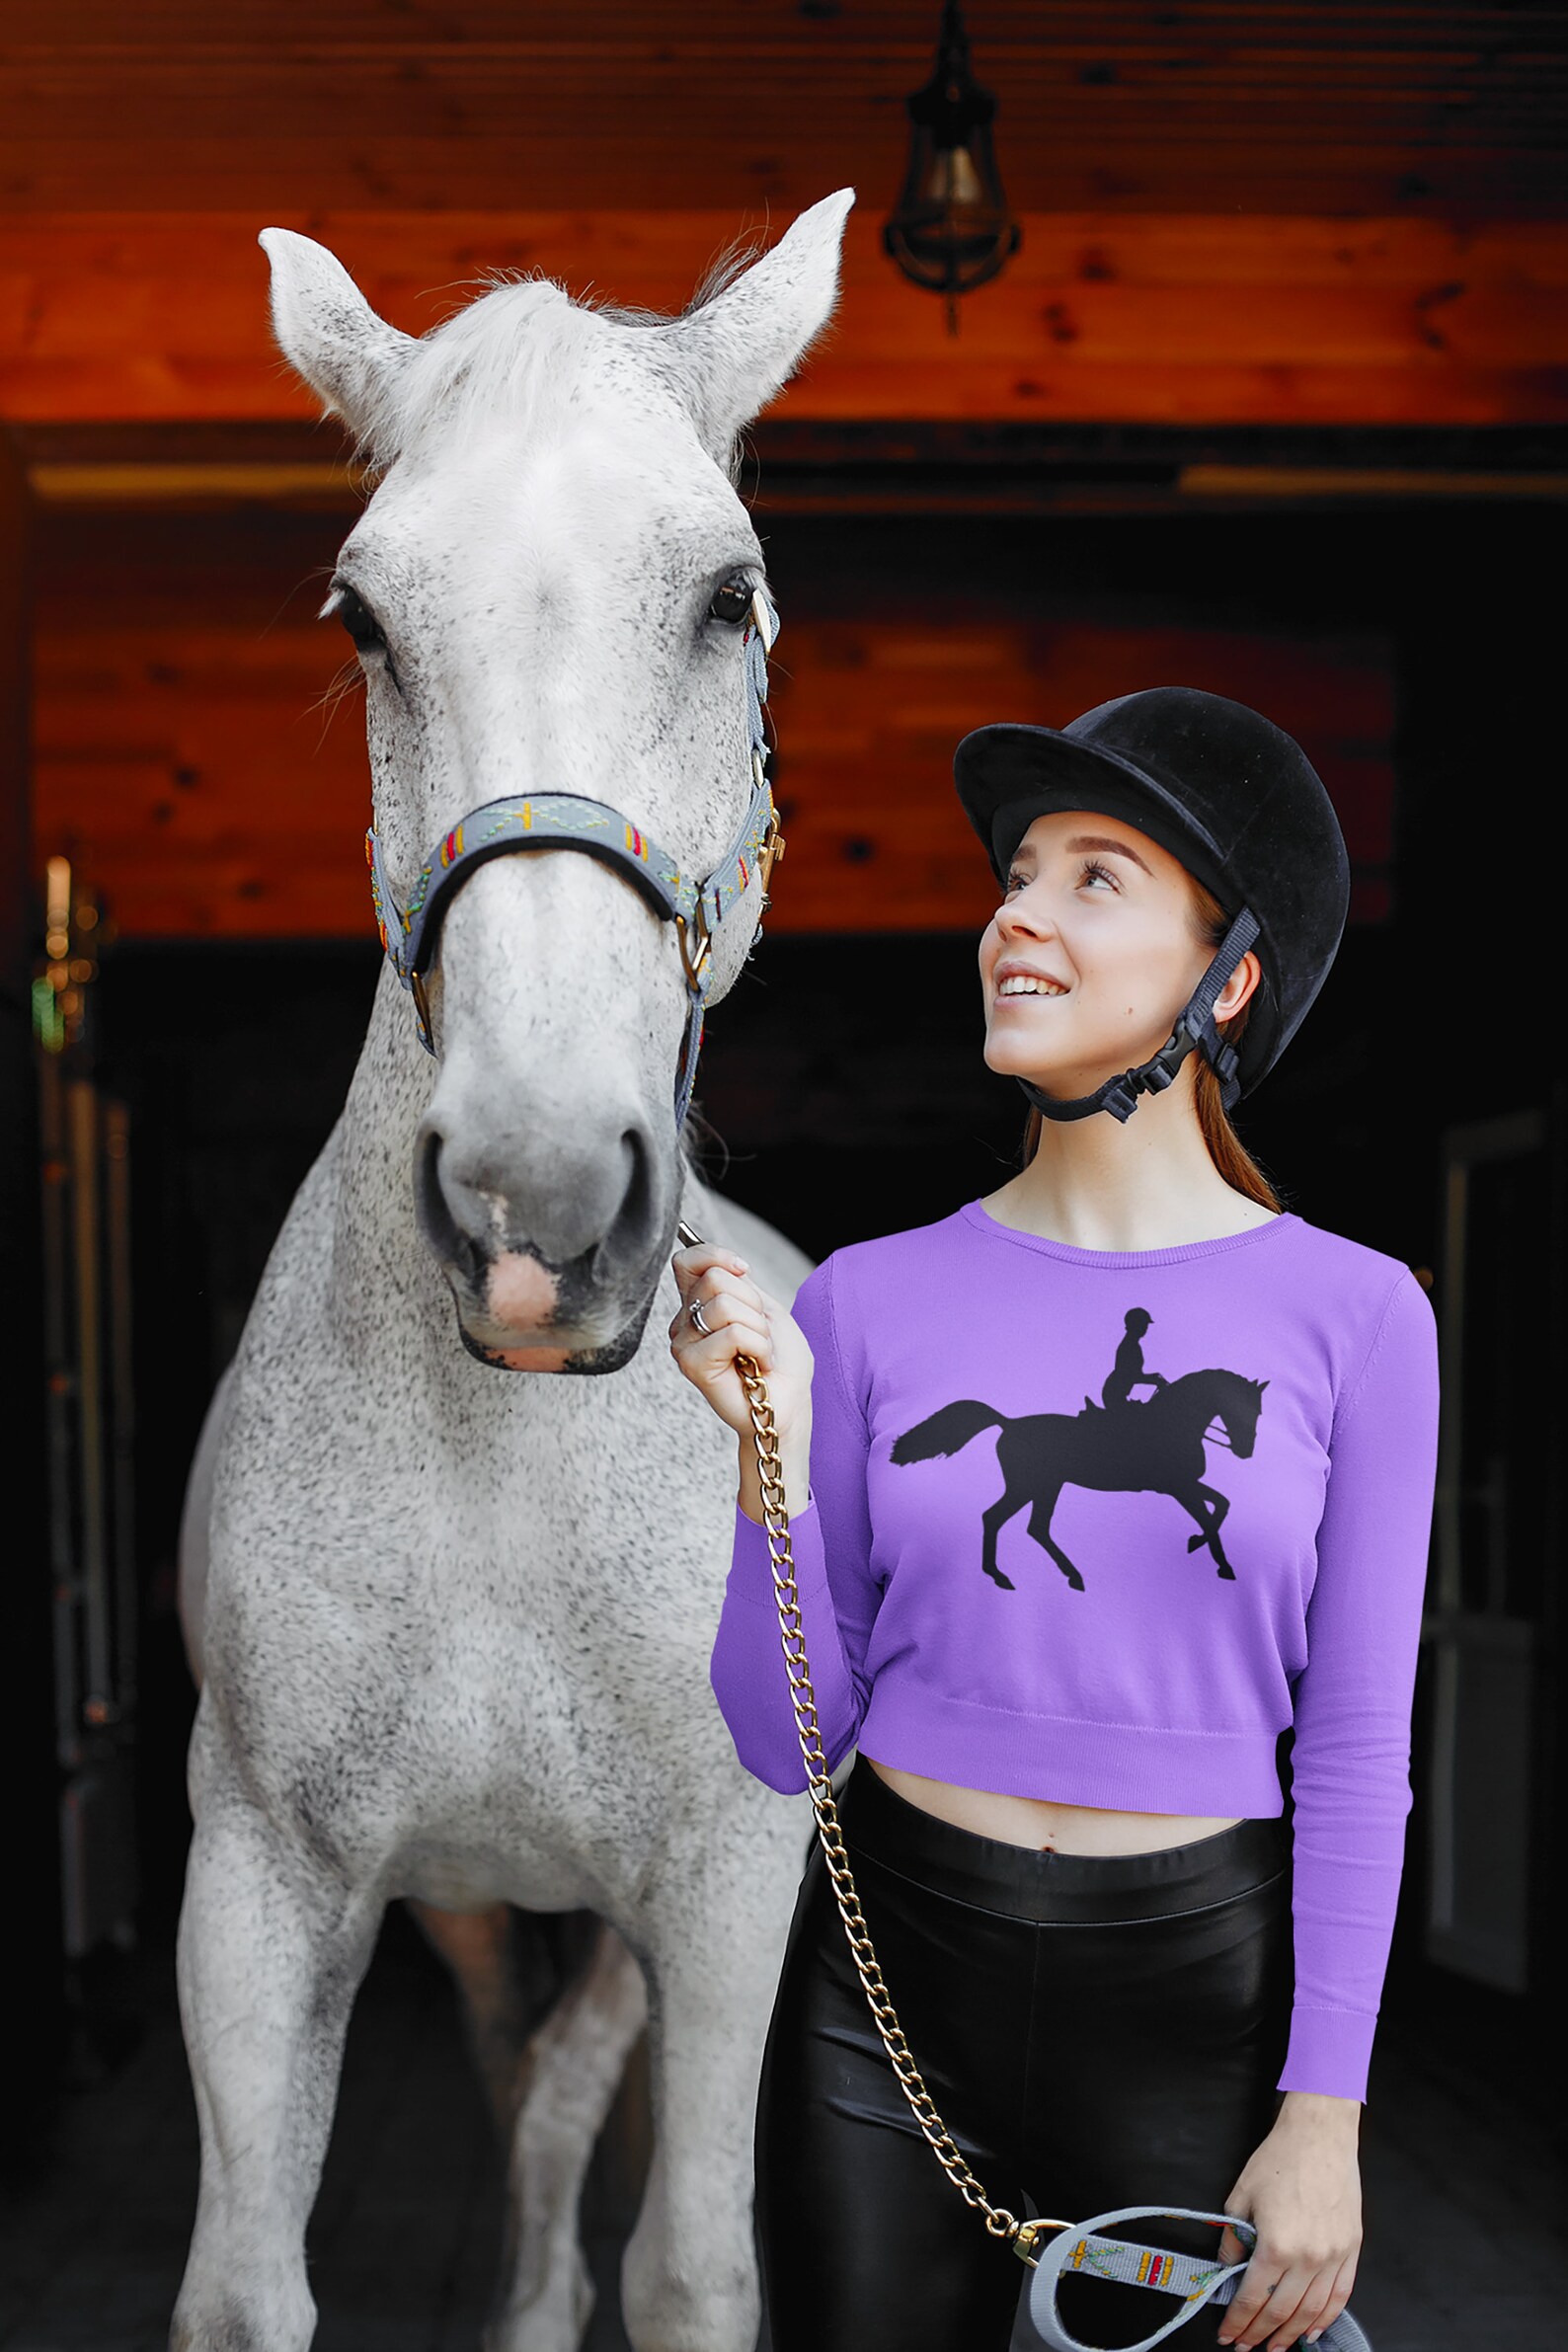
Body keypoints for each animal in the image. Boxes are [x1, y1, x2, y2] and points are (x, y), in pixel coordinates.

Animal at [172, 189, 854, 2352]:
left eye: (727, 597)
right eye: (363, 620)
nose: (536, 1208)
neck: (508, 1473)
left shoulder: (721, 1888)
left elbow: (691, 2259)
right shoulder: (267, 1887)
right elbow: (249, 2285)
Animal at [890, 1370, 1268, 1591]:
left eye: (1258, 1411)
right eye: (1237, 1409)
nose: (1245, 1451)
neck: (1175, 1422)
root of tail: (1008, 1423)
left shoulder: (1184, 1485)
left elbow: (1221, 1506)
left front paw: (1196, 1543)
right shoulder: (1179, 1487)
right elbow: (1212, 1516)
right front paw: (1221, 1563)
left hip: (1045, 1486)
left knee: (1030, 1526)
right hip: (1030, 1486)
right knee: (1000, 1519)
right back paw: (1011, 1575)